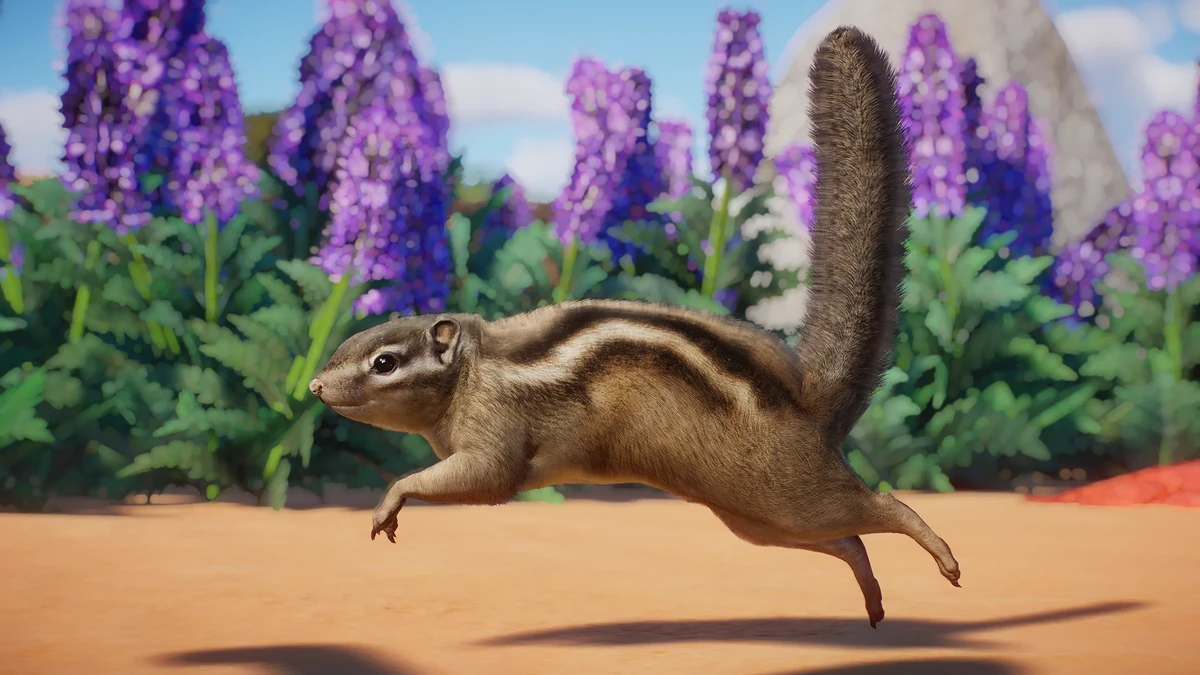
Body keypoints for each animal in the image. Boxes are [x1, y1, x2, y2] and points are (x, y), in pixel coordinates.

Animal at [309, 26, 960, 628]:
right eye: (346, 345)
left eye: (385, 362)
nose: (314, 385)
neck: (471, 369)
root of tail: (810, 405)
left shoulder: (497, 433)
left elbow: (485, 478)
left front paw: (390, 500)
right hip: (754, 516)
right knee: (845, 539)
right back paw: (872, 598)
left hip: (789, 490)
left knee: (877, 504)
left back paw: (941, 553)